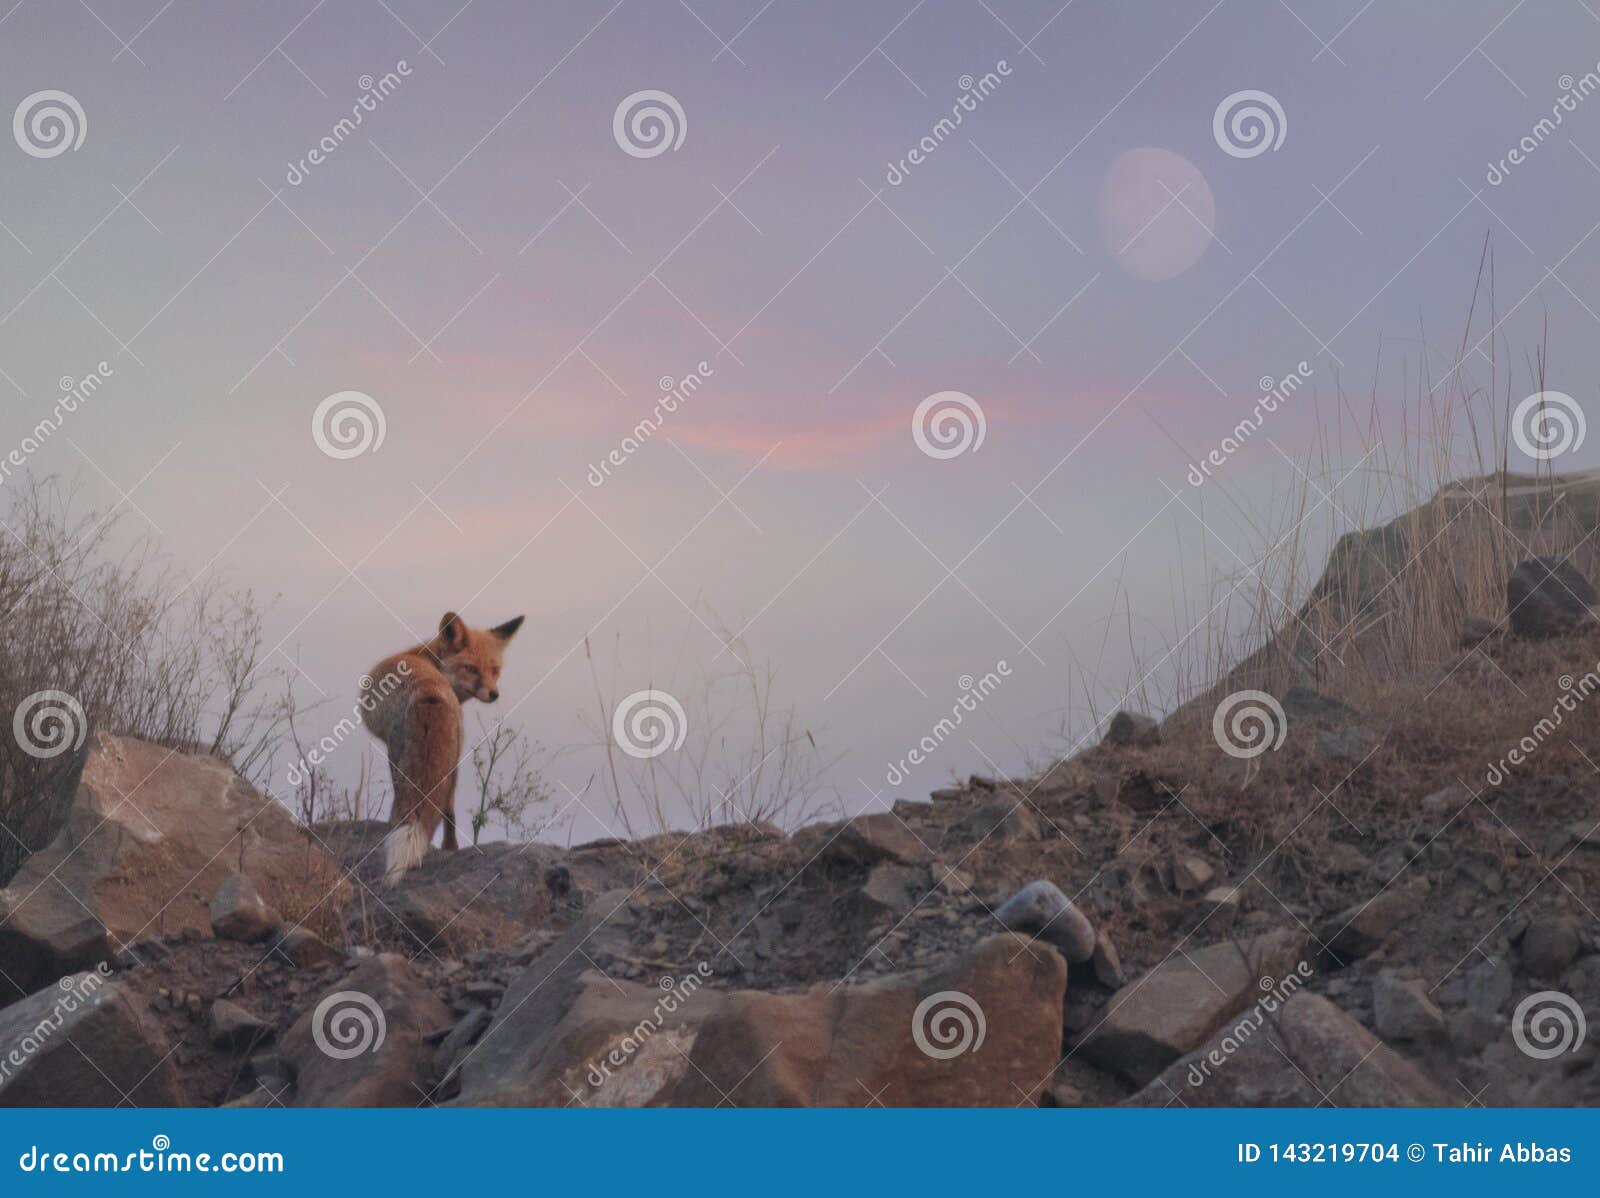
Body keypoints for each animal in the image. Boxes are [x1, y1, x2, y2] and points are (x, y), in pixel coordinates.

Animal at [361, 610, 524, 885]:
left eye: (494, 670)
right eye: (471, 669)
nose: (494, 694)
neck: (428, 660)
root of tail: (428, 689)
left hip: (400, 754)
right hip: (452, 758)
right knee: (448, 807)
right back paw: (451, 847)